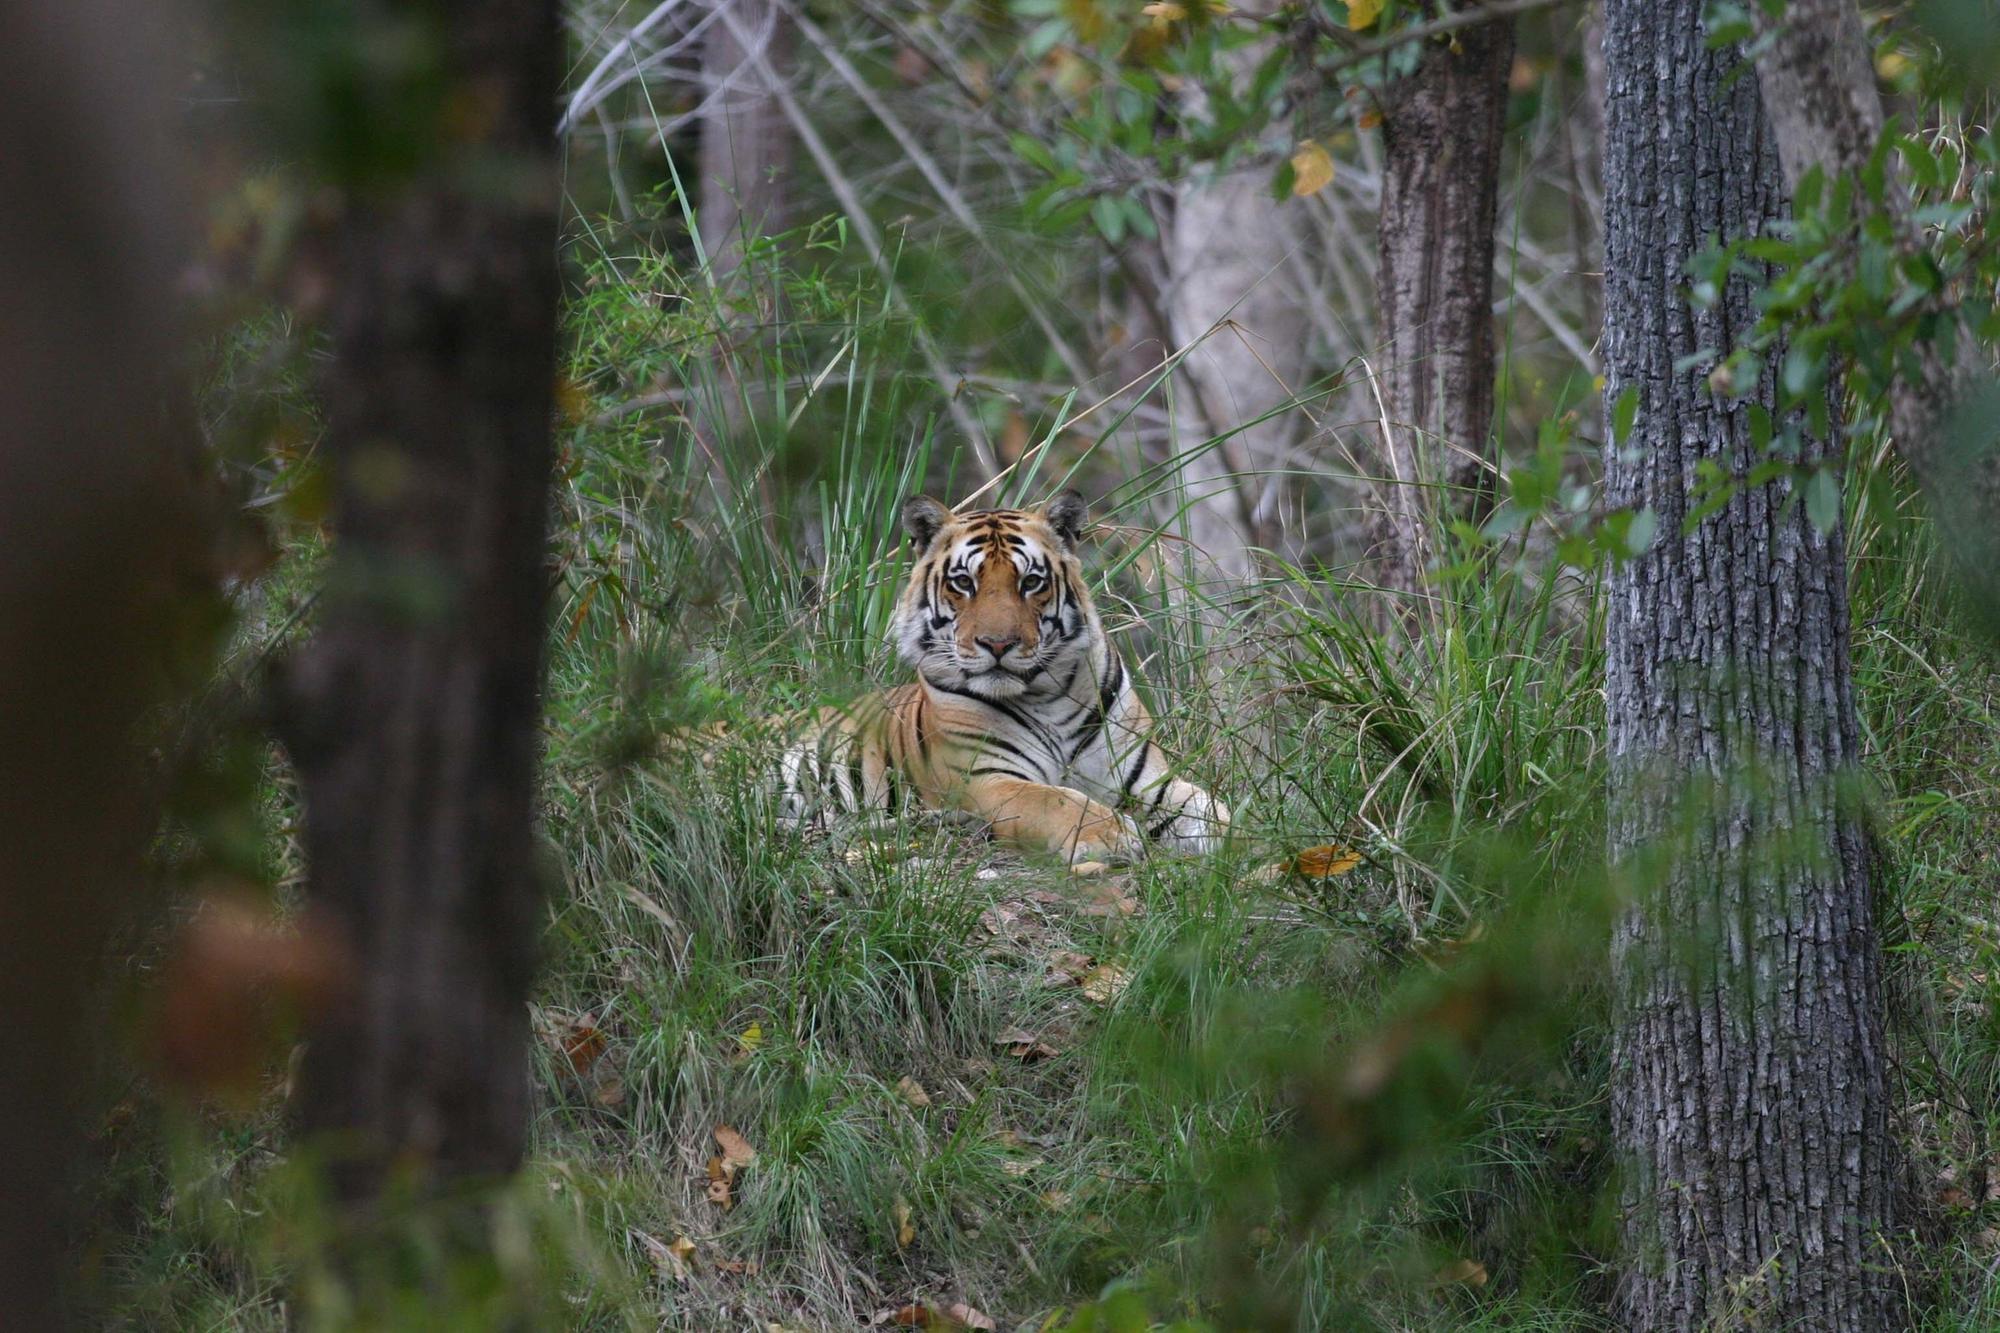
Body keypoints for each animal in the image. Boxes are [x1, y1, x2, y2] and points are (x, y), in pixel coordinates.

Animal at [771, 491, 1230, 864]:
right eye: (962, 582)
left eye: (1031, 581)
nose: (997, 643)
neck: (1047, 696)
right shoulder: (986, 778)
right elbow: (1055, 800)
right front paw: (1112, 836)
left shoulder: (1151, 782)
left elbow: (1214, 811)